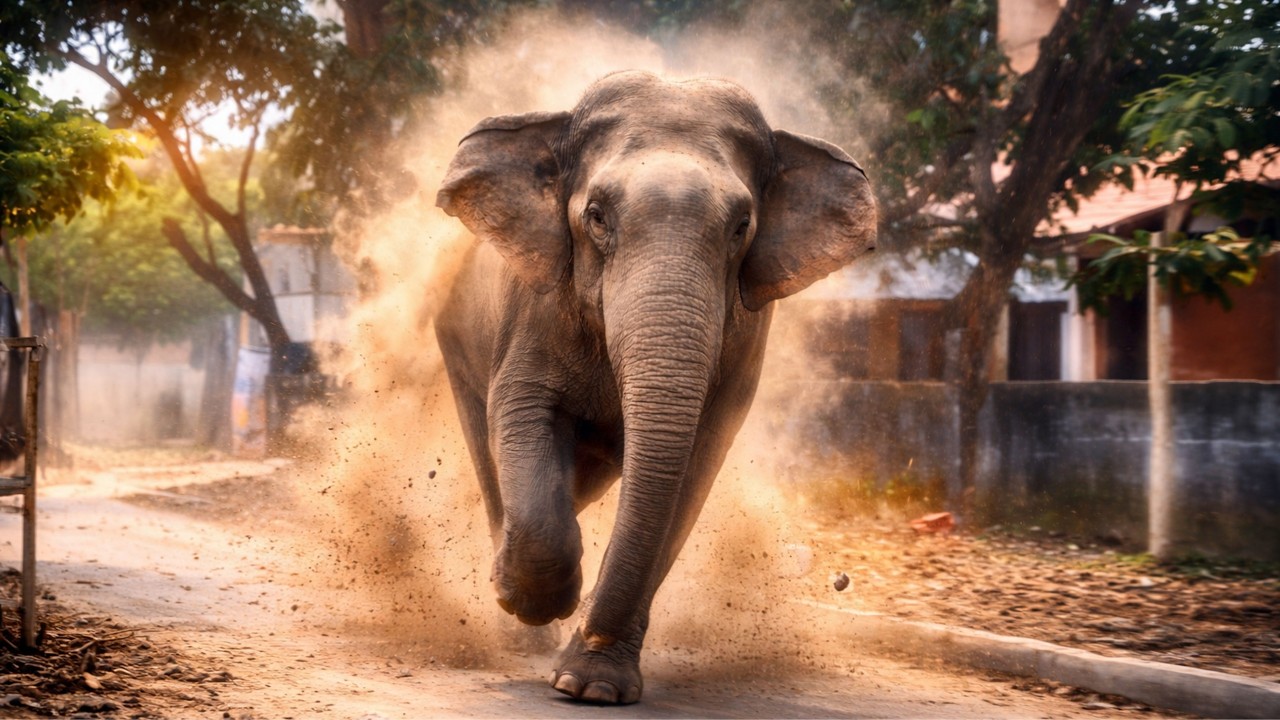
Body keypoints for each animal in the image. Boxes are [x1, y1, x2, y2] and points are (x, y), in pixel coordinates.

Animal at [433, 70, 876, 704]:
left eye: (742, 227)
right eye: (596, 216)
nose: (584, 632)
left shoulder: (744, 341)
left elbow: (690, 471)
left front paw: (591, 687)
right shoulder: (534, 308)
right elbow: (522, 413)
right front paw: (541, 611)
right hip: (456, 340)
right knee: (490, 452)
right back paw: (518, 623)